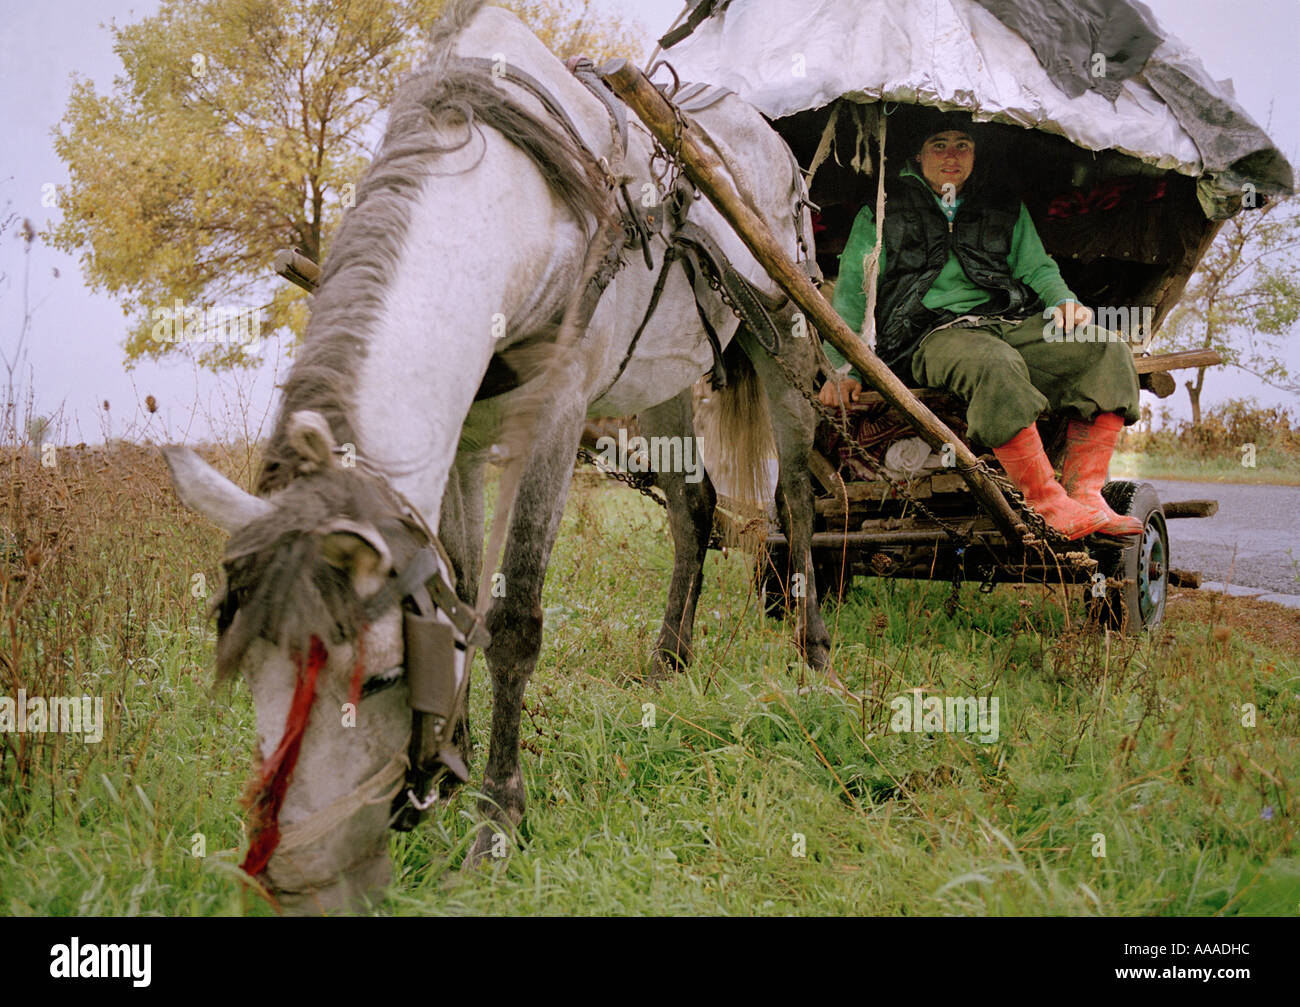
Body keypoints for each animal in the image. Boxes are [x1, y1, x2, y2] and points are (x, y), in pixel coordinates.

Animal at [163, 0, 830, 914]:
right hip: (660, 377)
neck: (526, 204)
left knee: (796, 492)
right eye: (247, 662)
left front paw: (497, 820)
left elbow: (514, 620)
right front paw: (451, 769)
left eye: (376, 679)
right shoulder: (462, 445)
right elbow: (465, 591)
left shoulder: (554, 415)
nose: (295, 881)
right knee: (693, 511)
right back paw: (669, 661)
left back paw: (812, 649)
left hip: (785, 338)